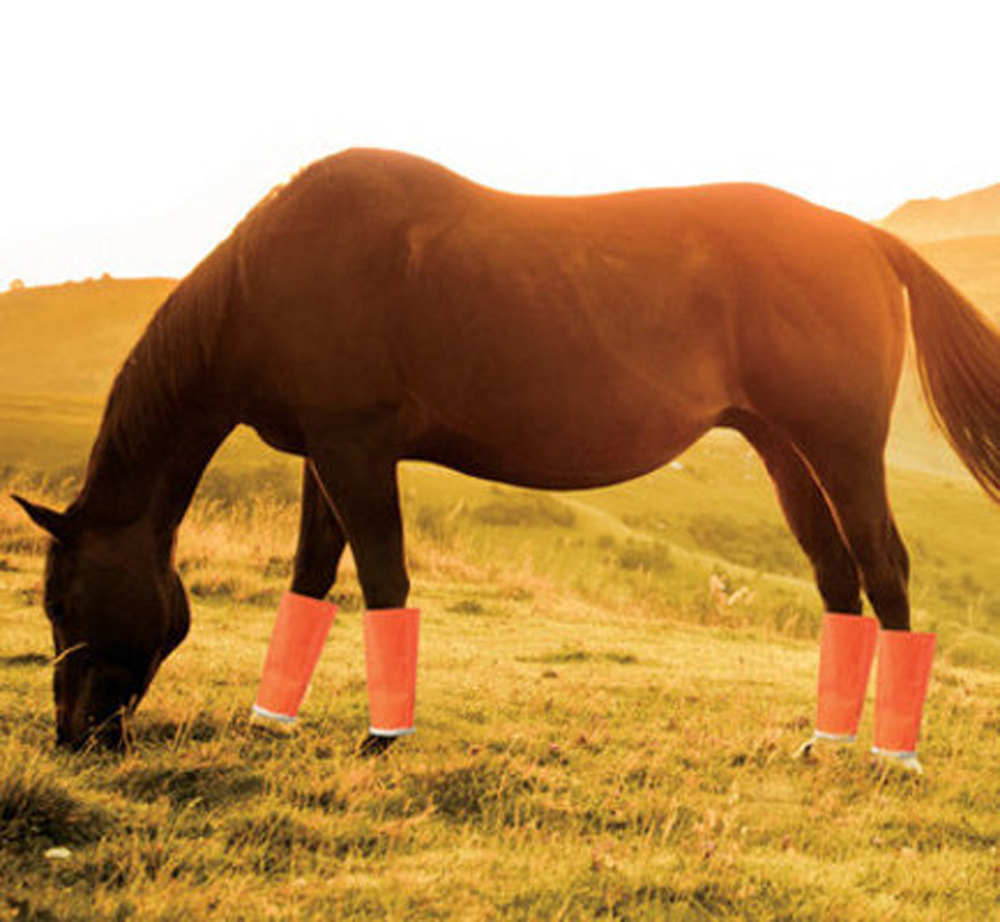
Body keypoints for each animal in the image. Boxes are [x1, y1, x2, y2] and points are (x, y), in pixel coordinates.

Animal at [13, 148, 1000, 751]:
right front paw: (273, 722)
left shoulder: (356, 448)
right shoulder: (322, 453)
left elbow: (383, 579)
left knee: (885, 569)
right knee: (838, 578)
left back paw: (888, 756)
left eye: (63, 602)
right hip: (784, 450)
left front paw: (382, 739)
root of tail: (866, 236)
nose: (75, 735)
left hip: (841, 448)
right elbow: (312, 579)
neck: (273, 279)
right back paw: (826, 743)